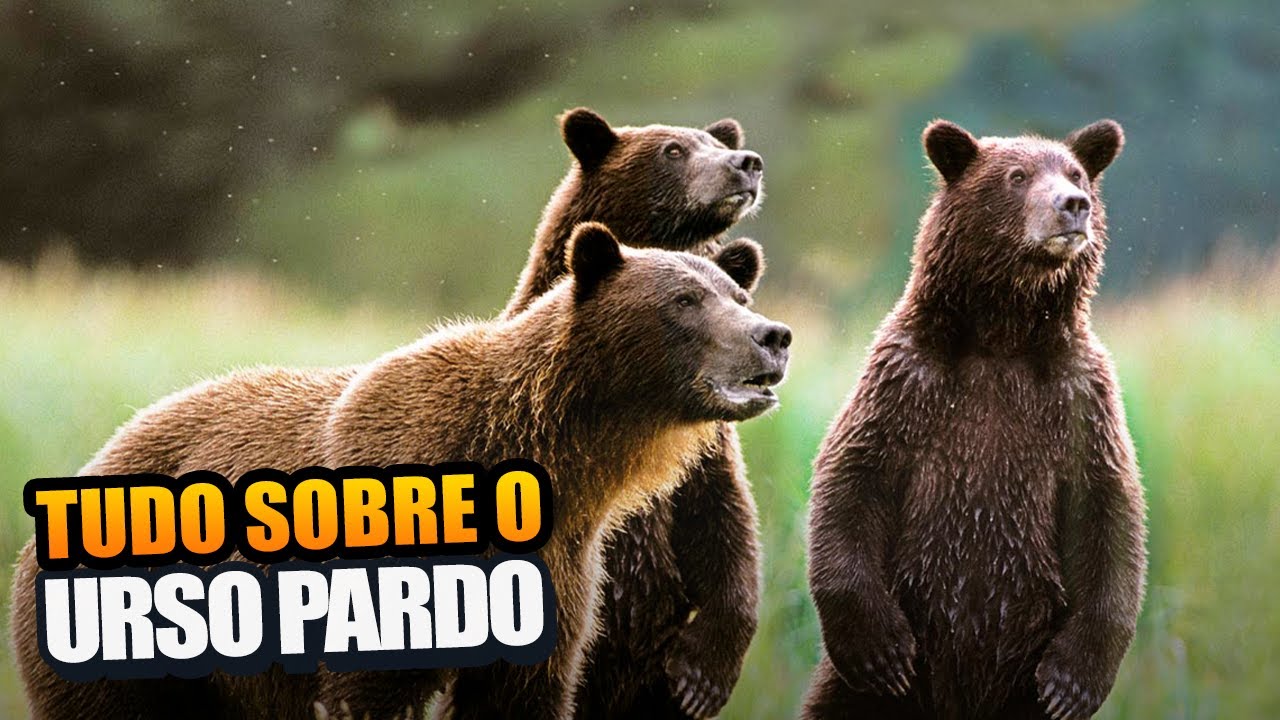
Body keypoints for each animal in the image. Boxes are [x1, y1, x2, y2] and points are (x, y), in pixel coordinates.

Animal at [10, 222, 793, 720]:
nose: (773, 336)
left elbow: (520, 690)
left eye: (737, 295)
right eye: (685, 300)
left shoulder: (559, 566)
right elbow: (371, 688)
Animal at [495, 107, 769, 720]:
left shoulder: (701, 450)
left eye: (715, 140)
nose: (746, 162)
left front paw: (702, 677)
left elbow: (724, 523)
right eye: (673, 150)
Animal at [802, 119, 1147, 720]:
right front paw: (881, 651)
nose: (1072, 205)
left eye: (1076, 173)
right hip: (863, 694)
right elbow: (852, 477)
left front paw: (1072, 683)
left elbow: (1110, 512)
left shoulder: (1081, 399)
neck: (1001, 338)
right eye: (1017, 176)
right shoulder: (906, 383)